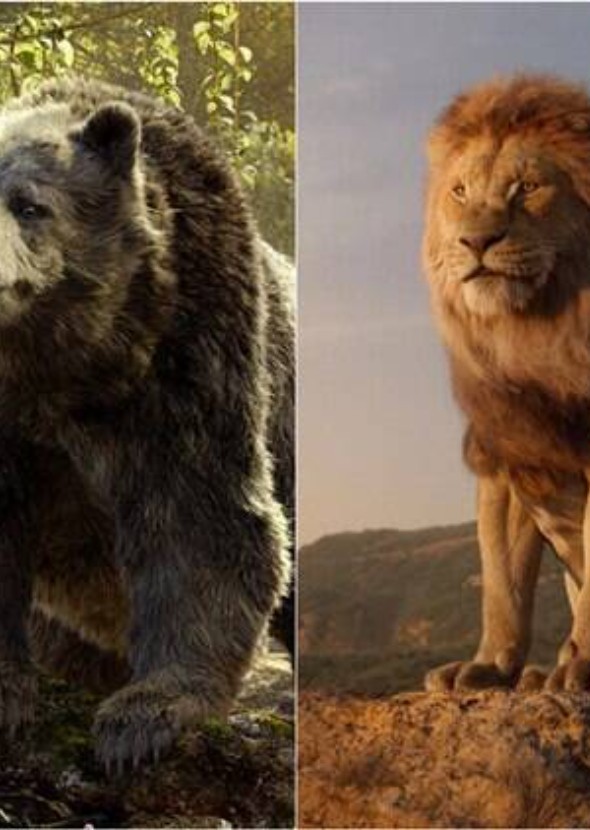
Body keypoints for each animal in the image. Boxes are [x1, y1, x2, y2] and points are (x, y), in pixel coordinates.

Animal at [423, 74, 590, 693]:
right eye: (461, 191)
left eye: (528, 188)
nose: (476, 242)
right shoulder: (507, 451)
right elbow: (502, 581)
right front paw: (489, 667)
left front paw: (580, 669)